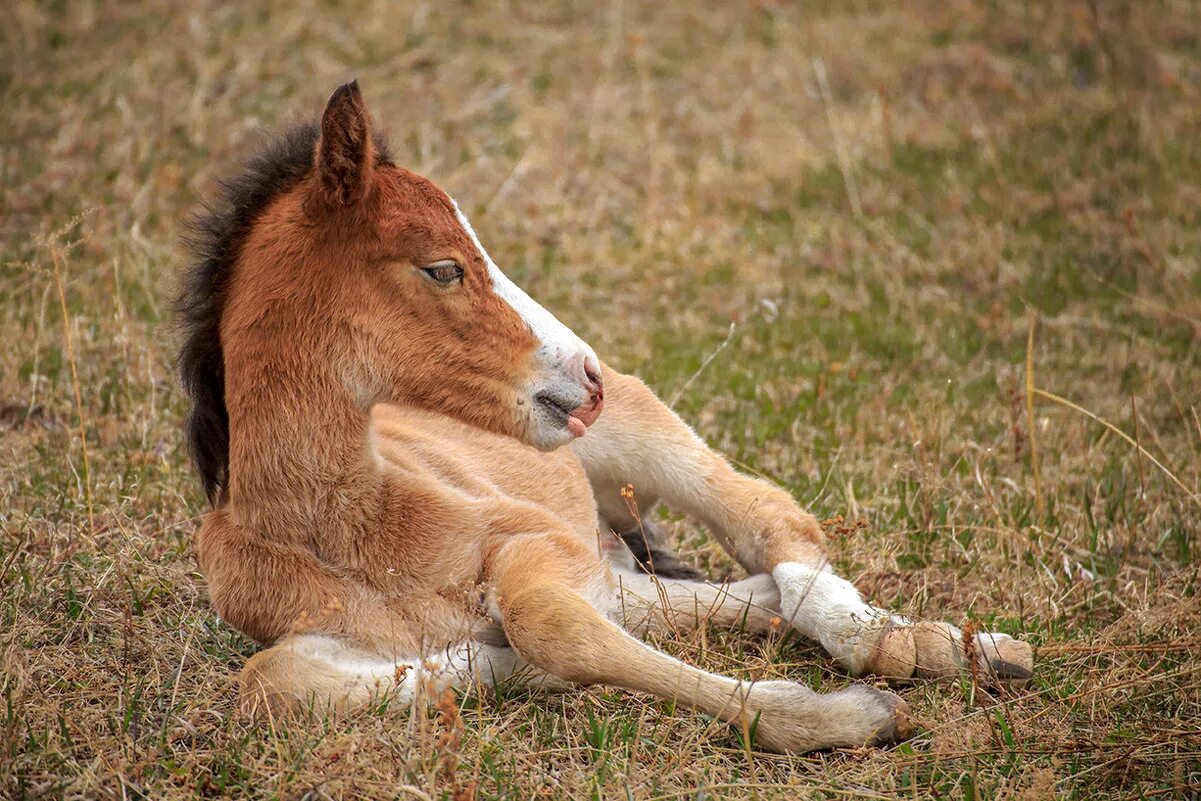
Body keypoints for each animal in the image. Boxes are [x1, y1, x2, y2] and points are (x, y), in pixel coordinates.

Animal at [180, 81, 1032, 754]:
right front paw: (494, 663)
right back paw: (947, 648)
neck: (350, 530)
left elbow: (549, 623)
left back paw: (893, 639)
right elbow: (275, 683)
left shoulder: (531, 539)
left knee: (768, 524)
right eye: (442, 267)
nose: (582, 377)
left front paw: (842, 718)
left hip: (643, 438)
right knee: (709, 591)